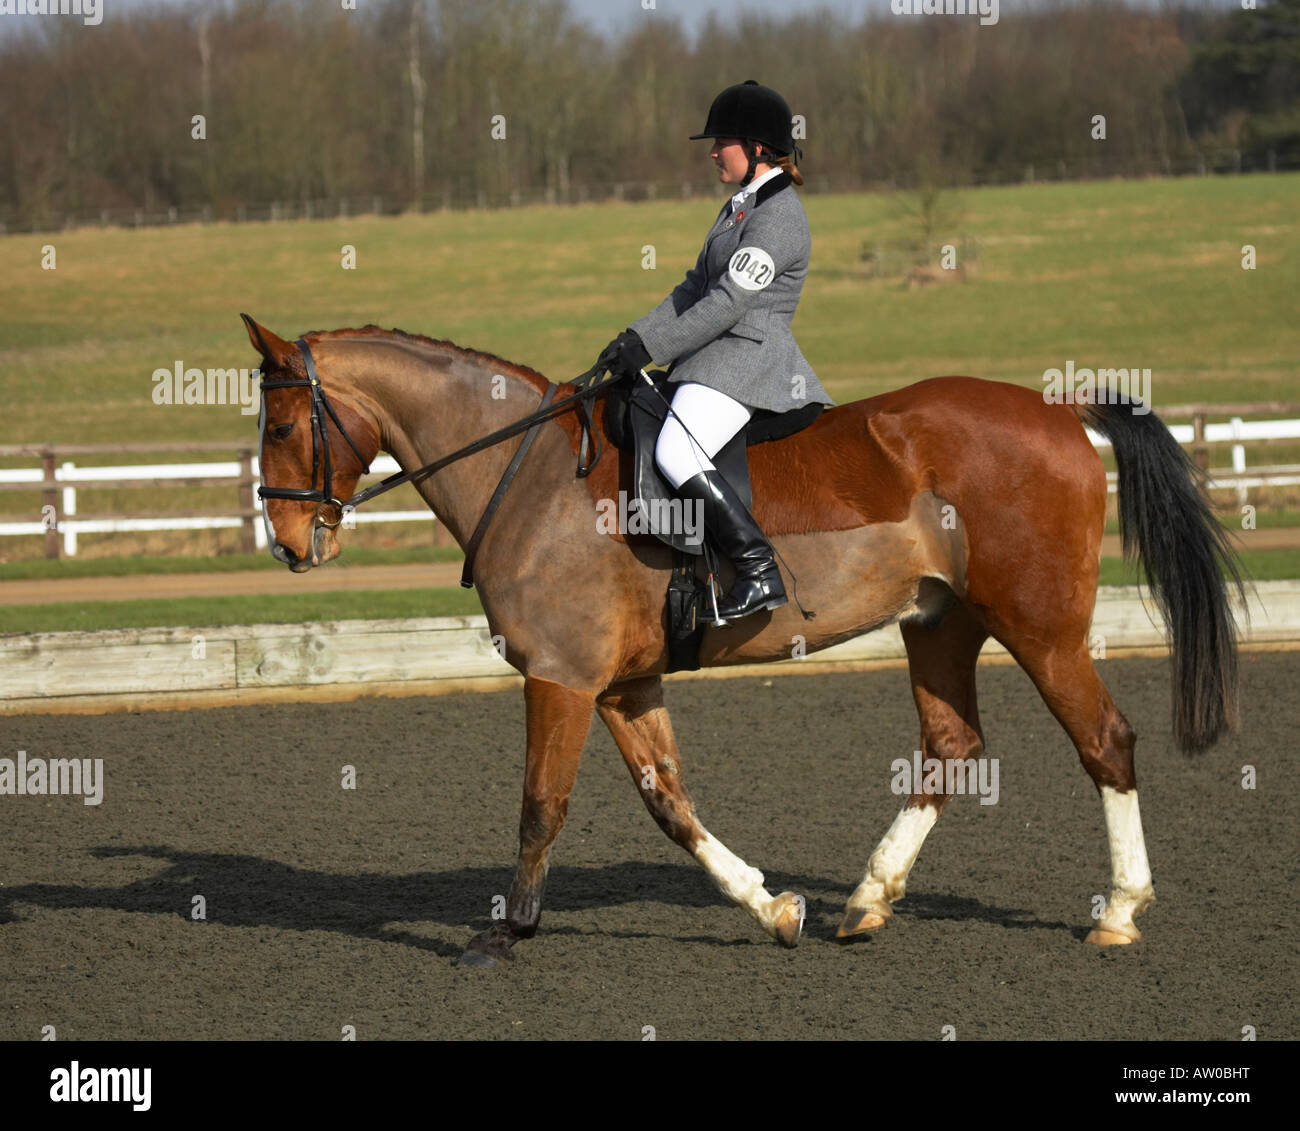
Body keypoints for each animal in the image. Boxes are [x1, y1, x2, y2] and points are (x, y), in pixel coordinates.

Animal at [241, 315, 1245, 967]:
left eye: (282, 424)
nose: (290, 544)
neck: (524, 473)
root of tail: (1057, 409)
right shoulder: (622, 685)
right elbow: (670, 803)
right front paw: (772, 907)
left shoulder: (561, 679)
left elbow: (540, 805)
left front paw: (506, 931)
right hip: (939, 622)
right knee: (950, 745)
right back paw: (867, 899)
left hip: (1041, 628)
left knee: (1104, 741)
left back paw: (1119, 910)